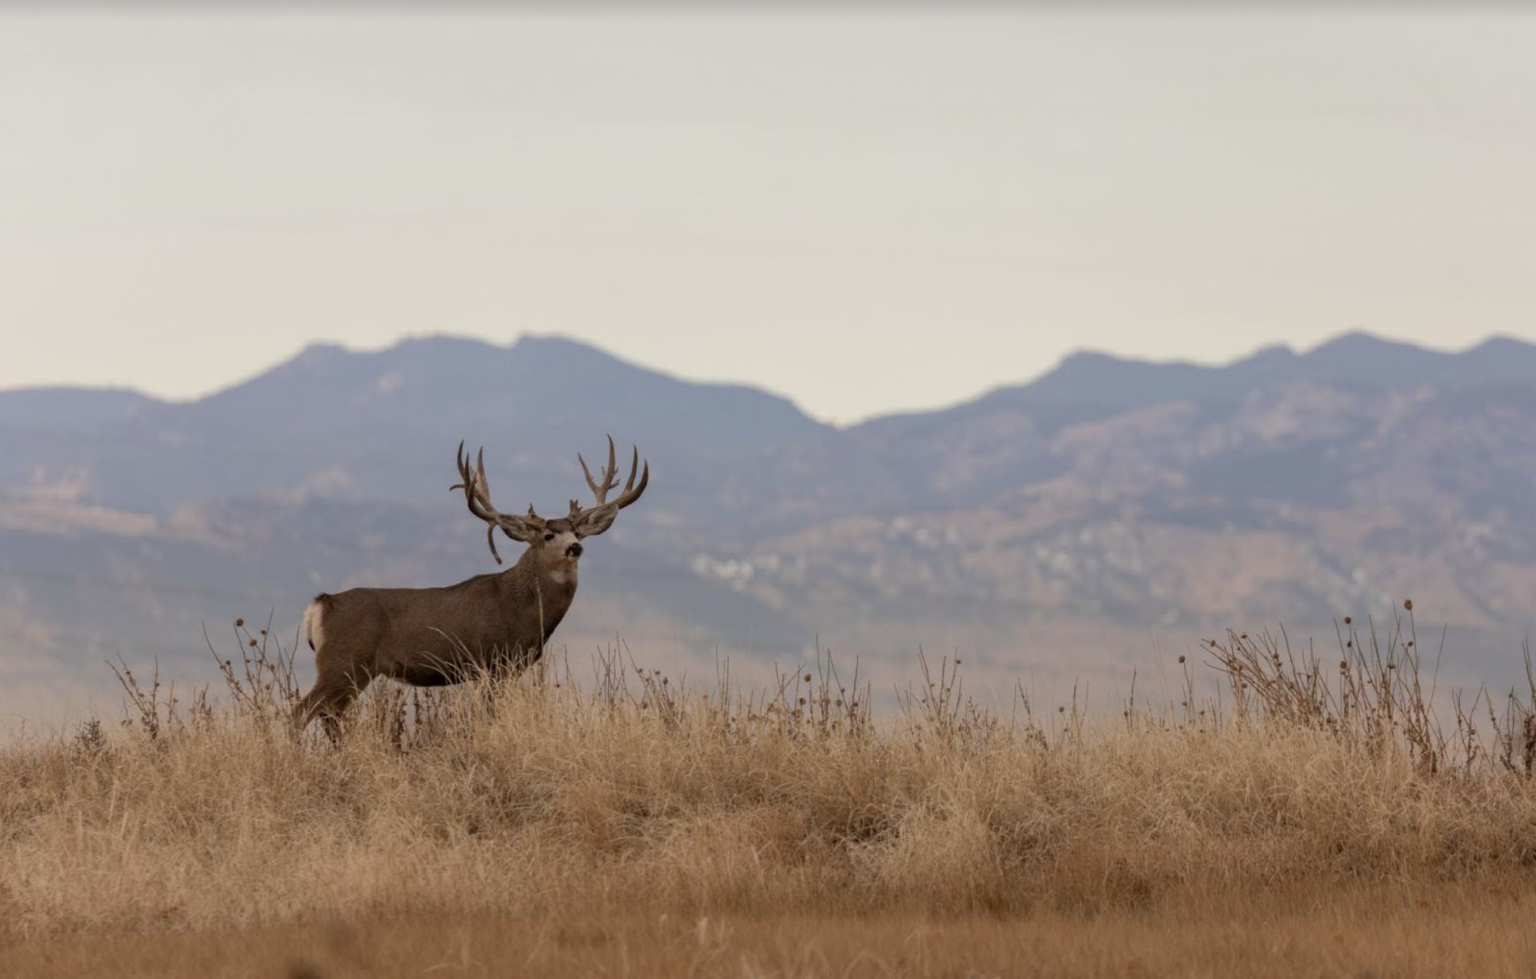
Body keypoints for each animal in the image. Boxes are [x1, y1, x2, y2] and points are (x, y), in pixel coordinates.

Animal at [292, 436, 649, 736]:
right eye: (549, 535)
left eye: (576, 532)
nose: (575, 547)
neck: (522, 608)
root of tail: (320, 604)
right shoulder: (491, 661)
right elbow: (491, 717)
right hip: (343, 660)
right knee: (302, 711)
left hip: (351, 670)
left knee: (330, 714)